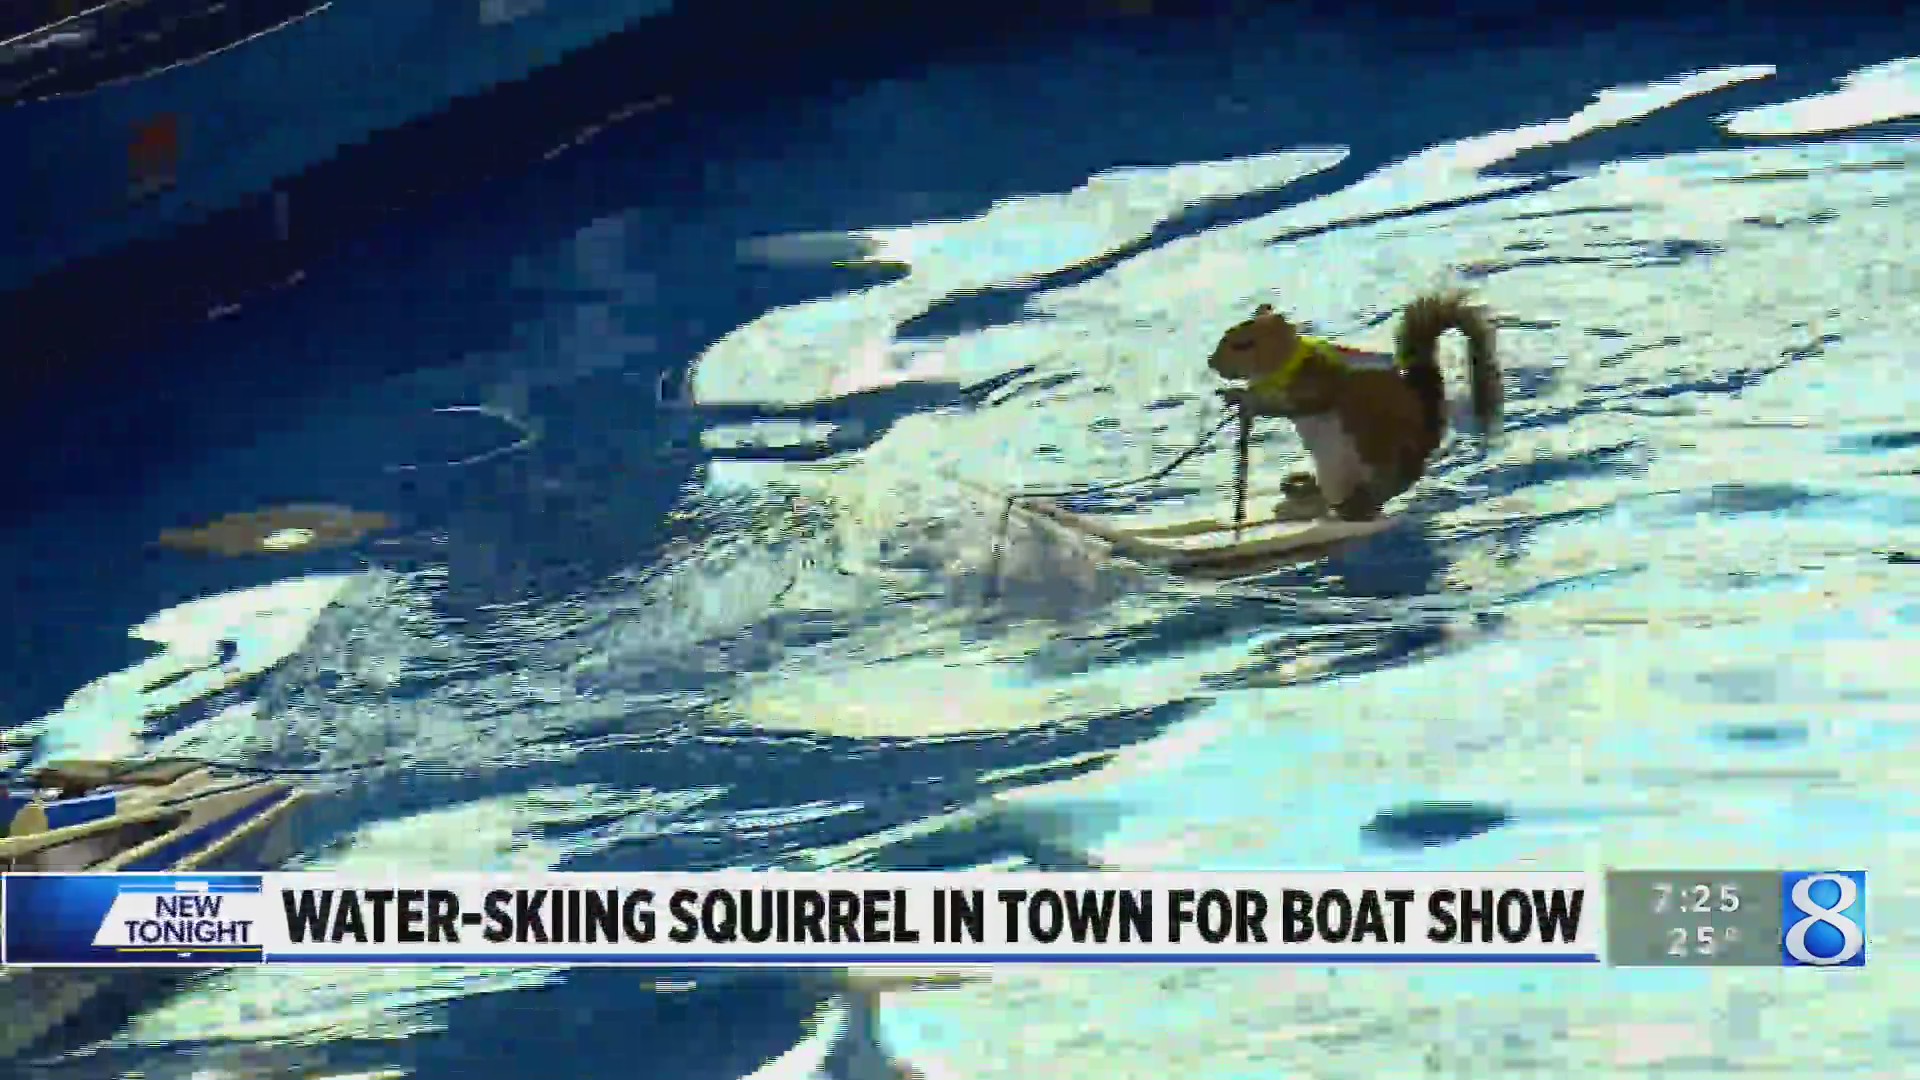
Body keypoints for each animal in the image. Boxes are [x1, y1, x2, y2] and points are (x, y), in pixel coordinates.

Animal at [1206, 290, 1501, 522]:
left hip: (1364, 462)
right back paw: (1300, 492)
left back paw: (1349, 505)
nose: (1211, 362)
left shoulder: (1318, 382)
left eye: (1245, 345)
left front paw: (1243, 397)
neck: (1287, 362)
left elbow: (1295, 403)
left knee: (1372, 496)